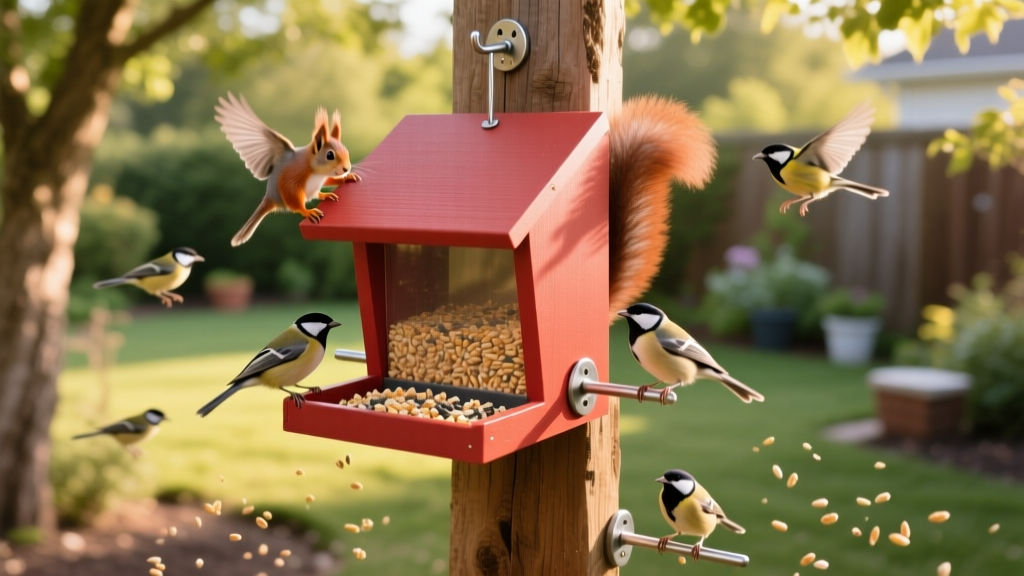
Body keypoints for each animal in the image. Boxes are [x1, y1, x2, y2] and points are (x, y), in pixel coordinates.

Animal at [215, 92, 361, 247]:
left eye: (347, 151)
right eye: (330, 155)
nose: (346, 168)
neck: (316, 171)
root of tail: (269, 197)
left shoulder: (322, 178)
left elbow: (329, 180)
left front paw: (347, 177)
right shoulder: (292, 179)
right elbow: (293, 195)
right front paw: (307, 212)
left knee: (316, 194)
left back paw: (326, 195)